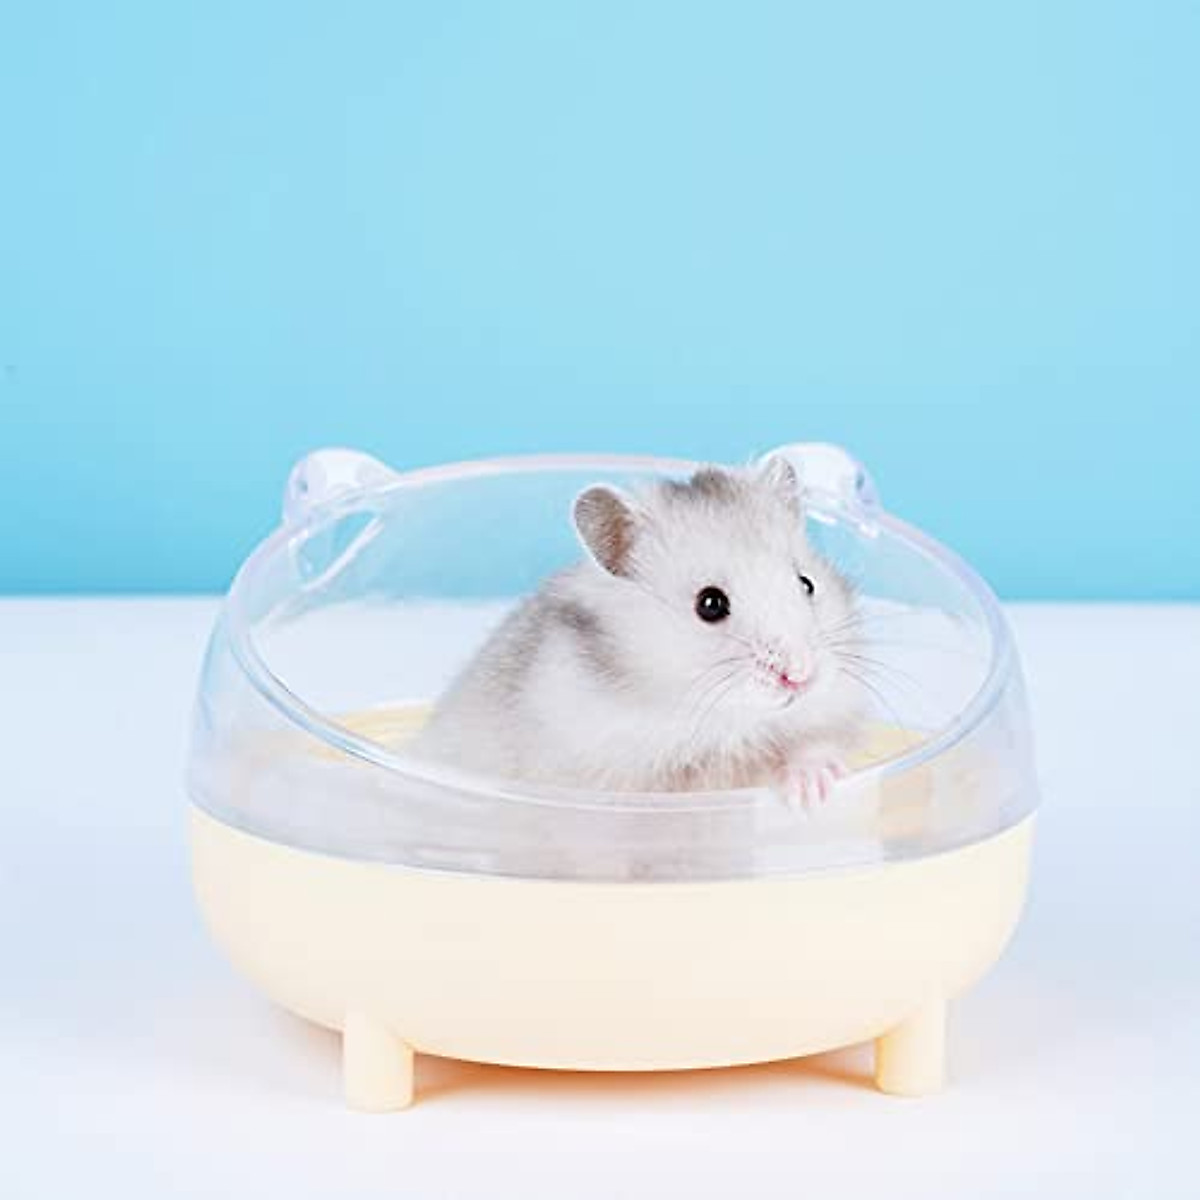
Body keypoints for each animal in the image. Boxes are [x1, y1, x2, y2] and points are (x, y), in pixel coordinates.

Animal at [407, 455, 867, 807]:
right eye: (710, 604)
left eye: (806, 584)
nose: (801, 676)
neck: (723, 717)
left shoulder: (826, 713)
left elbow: (814, 743)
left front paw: (814, 791)